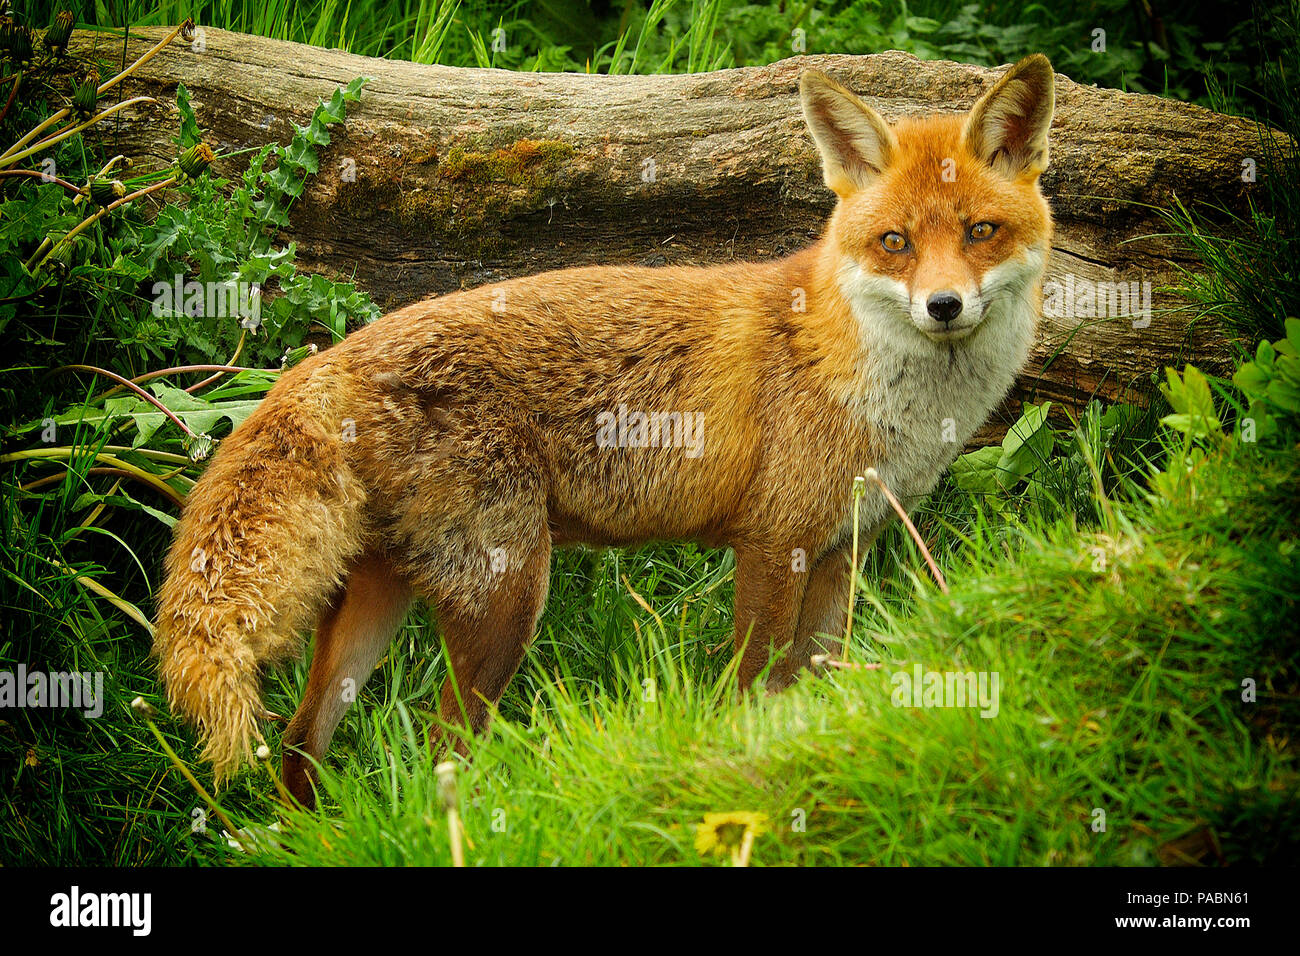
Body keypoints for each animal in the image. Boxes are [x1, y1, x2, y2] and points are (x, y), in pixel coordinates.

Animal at [154, 54, 1055, 807]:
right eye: (895, 242)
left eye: (979, 232)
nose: (945, 306)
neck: (867, 381)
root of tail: (330, 361)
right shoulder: (775, 543)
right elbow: (750, 692)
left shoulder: (842, 548)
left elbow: (813, 688)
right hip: (507, 596)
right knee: (440, 751)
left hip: (381, 600)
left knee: (301, 744)